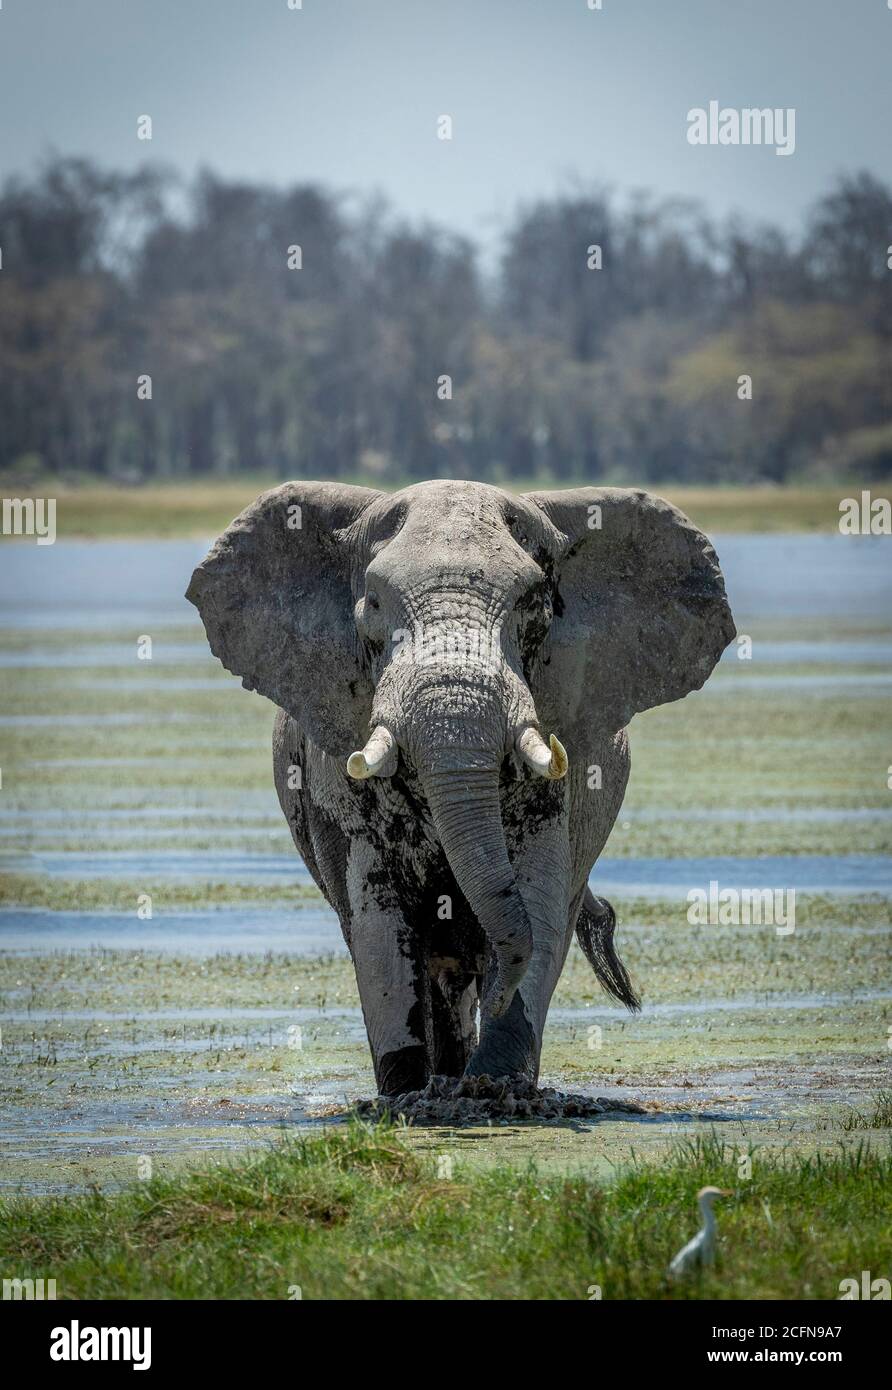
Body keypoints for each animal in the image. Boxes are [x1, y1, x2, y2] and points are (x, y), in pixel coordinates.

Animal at [187, 480, 735, 1095]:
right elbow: (377, 921)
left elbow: (540, 897)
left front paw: (496, 1090)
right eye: (372, 604)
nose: (497, 997)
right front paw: (407, 1095)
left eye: (532, 605)